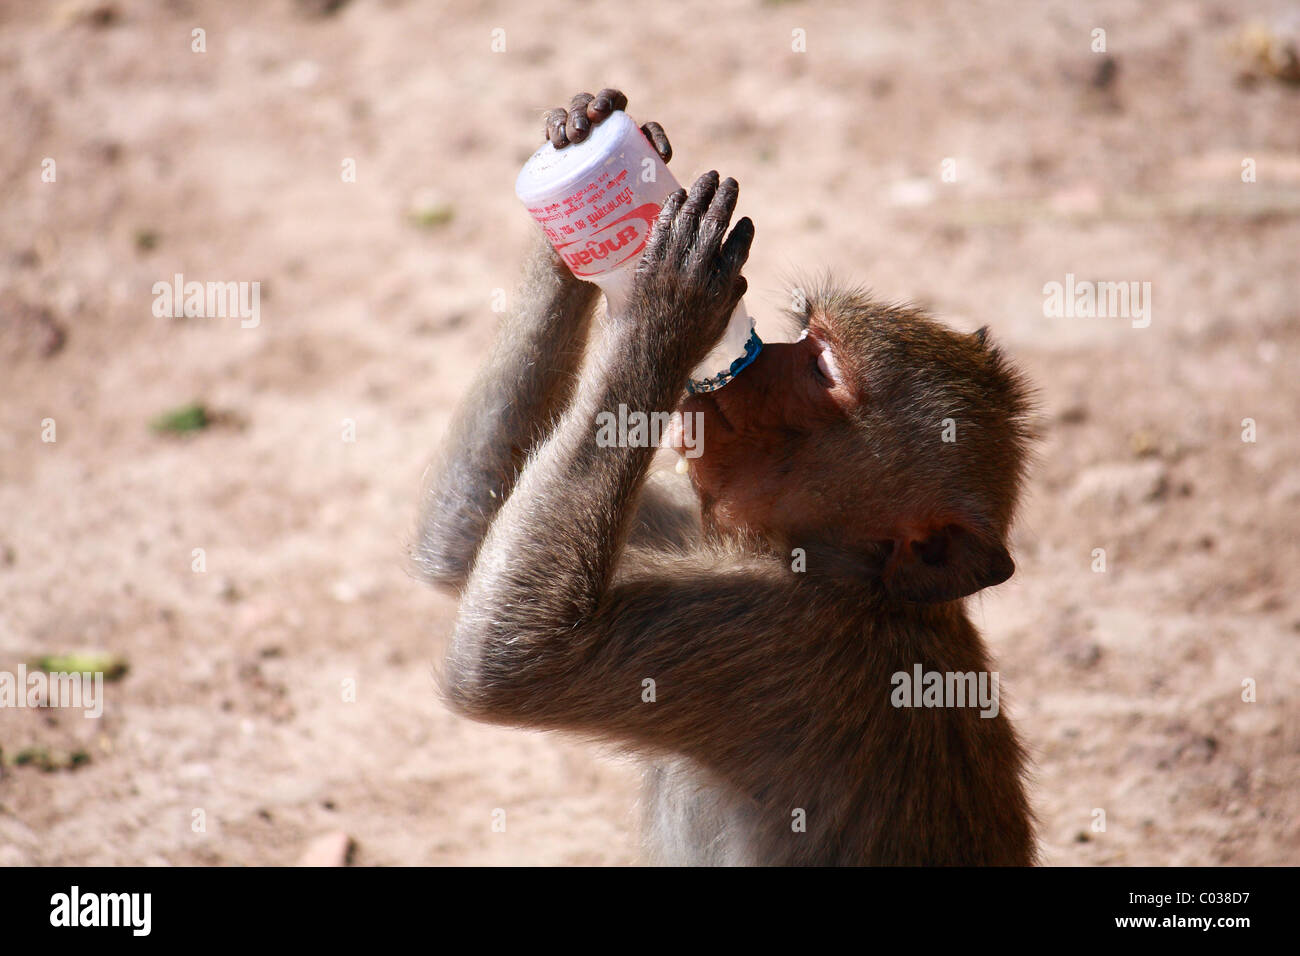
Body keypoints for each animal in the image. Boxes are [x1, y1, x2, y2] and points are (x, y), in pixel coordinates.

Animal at [415, 90, 1037, 865]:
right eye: (808, 336)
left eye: (822, 369)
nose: (755, 355)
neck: (860, 581)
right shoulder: (709, 527)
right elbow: (465, 542)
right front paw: (587, 138)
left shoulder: (779, 633)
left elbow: (518, 664)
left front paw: (664, 306)